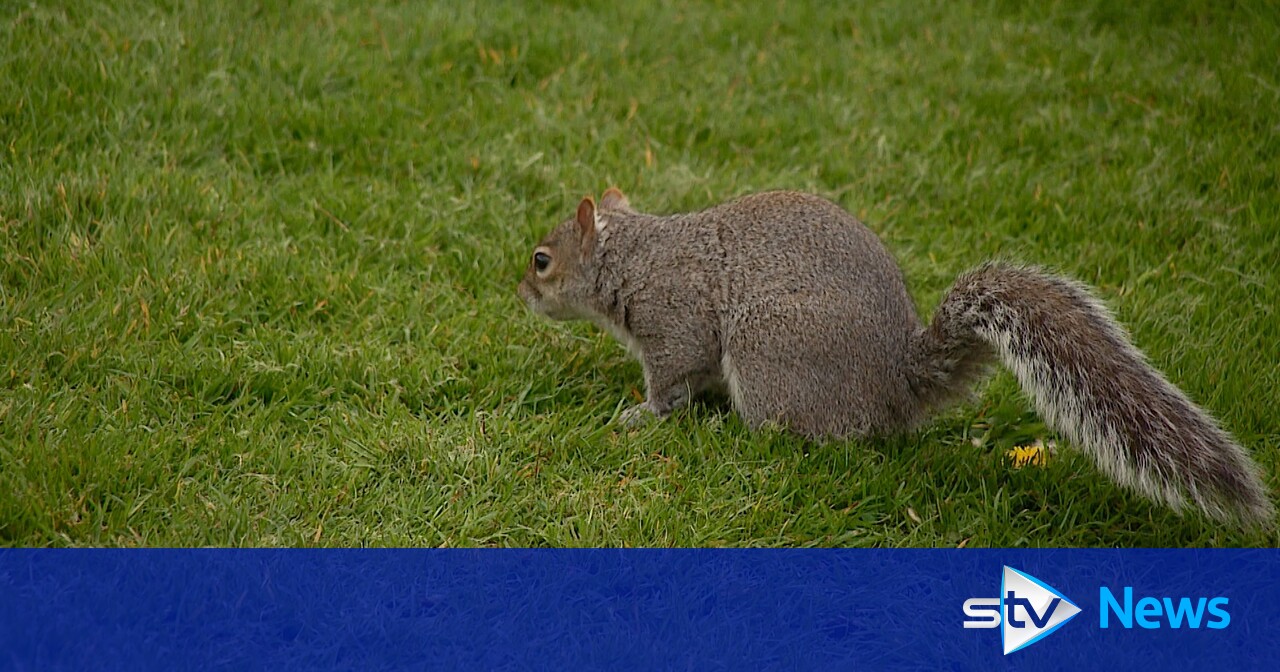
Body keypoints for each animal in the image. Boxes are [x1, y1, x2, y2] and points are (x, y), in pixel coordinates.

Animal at [517, 188, 1274, 526]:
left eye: (542, 260)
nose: (521, 292)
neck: (633, 257)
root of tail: (897, 381)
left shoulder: (674, 323)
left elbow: (670, 381)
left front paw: (640, 416)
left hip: (769, 353)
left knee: (824, 434)